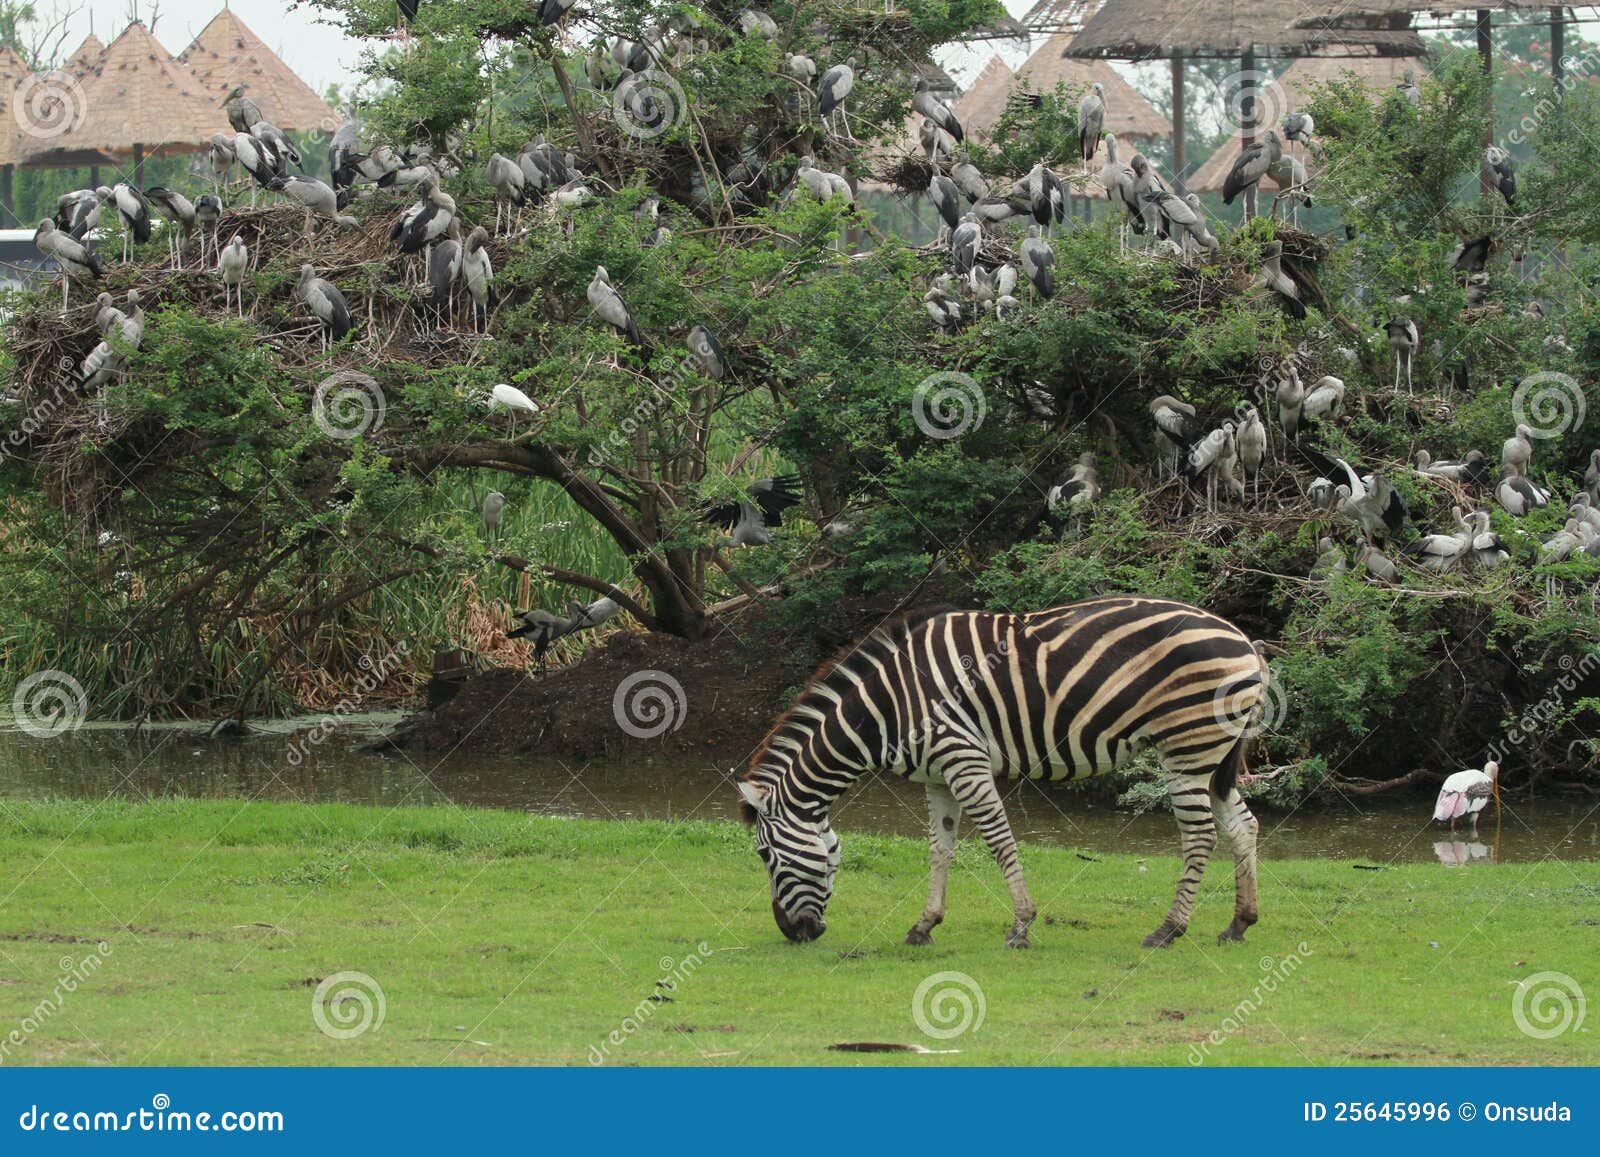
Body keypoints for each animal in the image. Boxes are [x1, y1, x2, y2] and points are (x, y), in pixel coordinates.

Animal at [737, 595, 1268, 950]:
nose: (793, 934)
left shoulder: (964, 759)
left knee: (1201, 836)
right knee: (1243, 825)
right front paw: (924, 925)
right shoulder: (938, 777)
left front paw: (1021, 925)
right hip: (1212, 753)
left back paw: (1168, 929)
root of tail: (1243, 638)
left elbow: (999, 841)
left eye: (764, 855)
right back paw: (1239, 923)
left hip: (1186, 746)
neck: (889, 706)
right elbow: (940, 850)